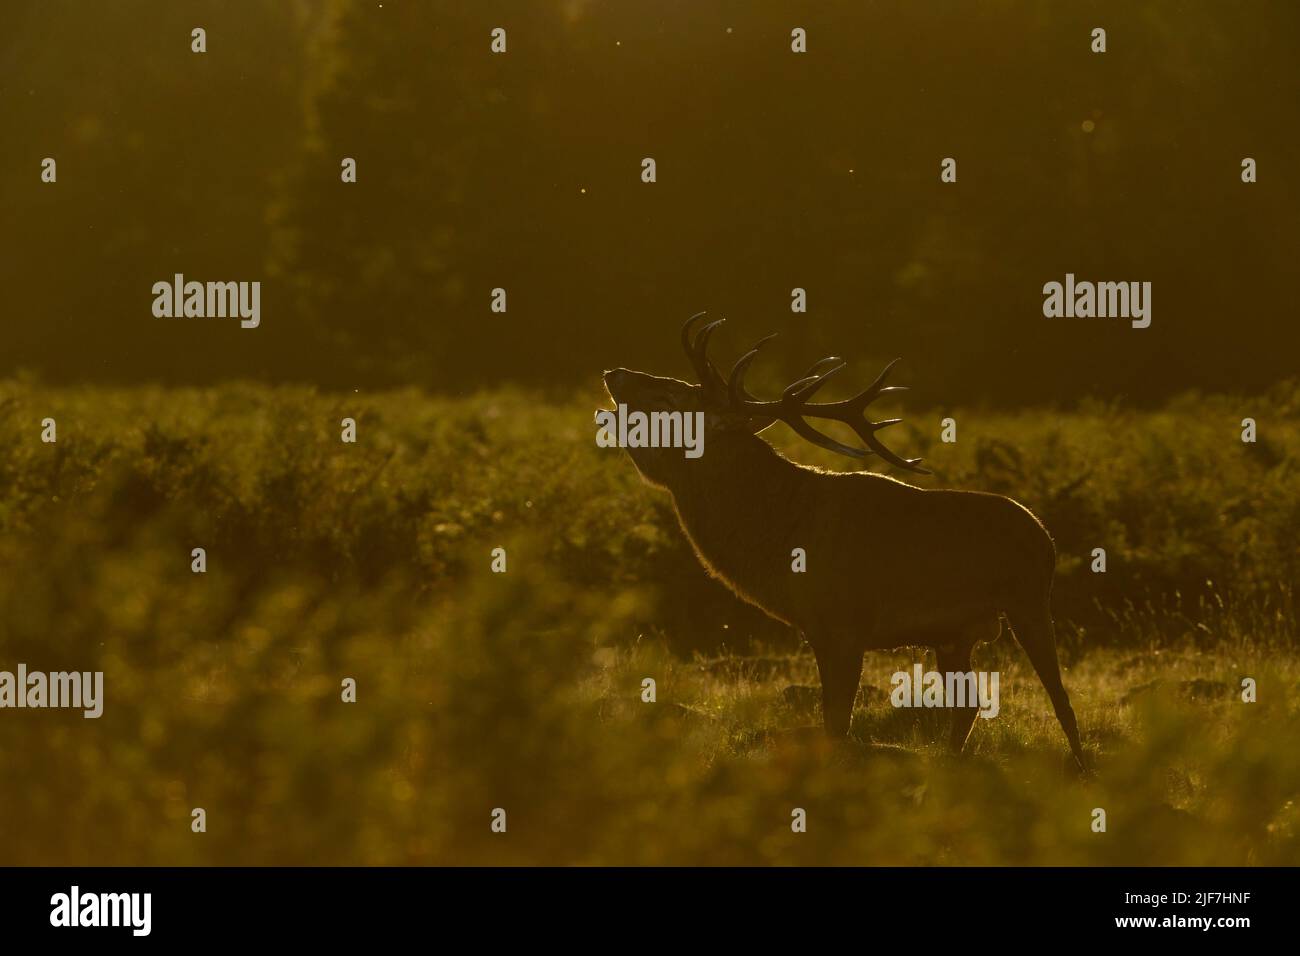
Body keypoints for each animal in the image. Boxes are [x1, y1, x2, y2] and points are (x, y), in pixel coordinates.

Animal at [602, 313, 1087, 770]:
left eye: (671, 398)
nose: (614, 372)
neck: (777, 541)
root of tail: (1046, 538)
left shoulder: (843, 626)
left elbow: (837, 725)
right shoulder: (820, 631)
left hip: (1028, 601)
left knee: (1062, 699)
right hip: (956, 635)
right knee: (967, 706)